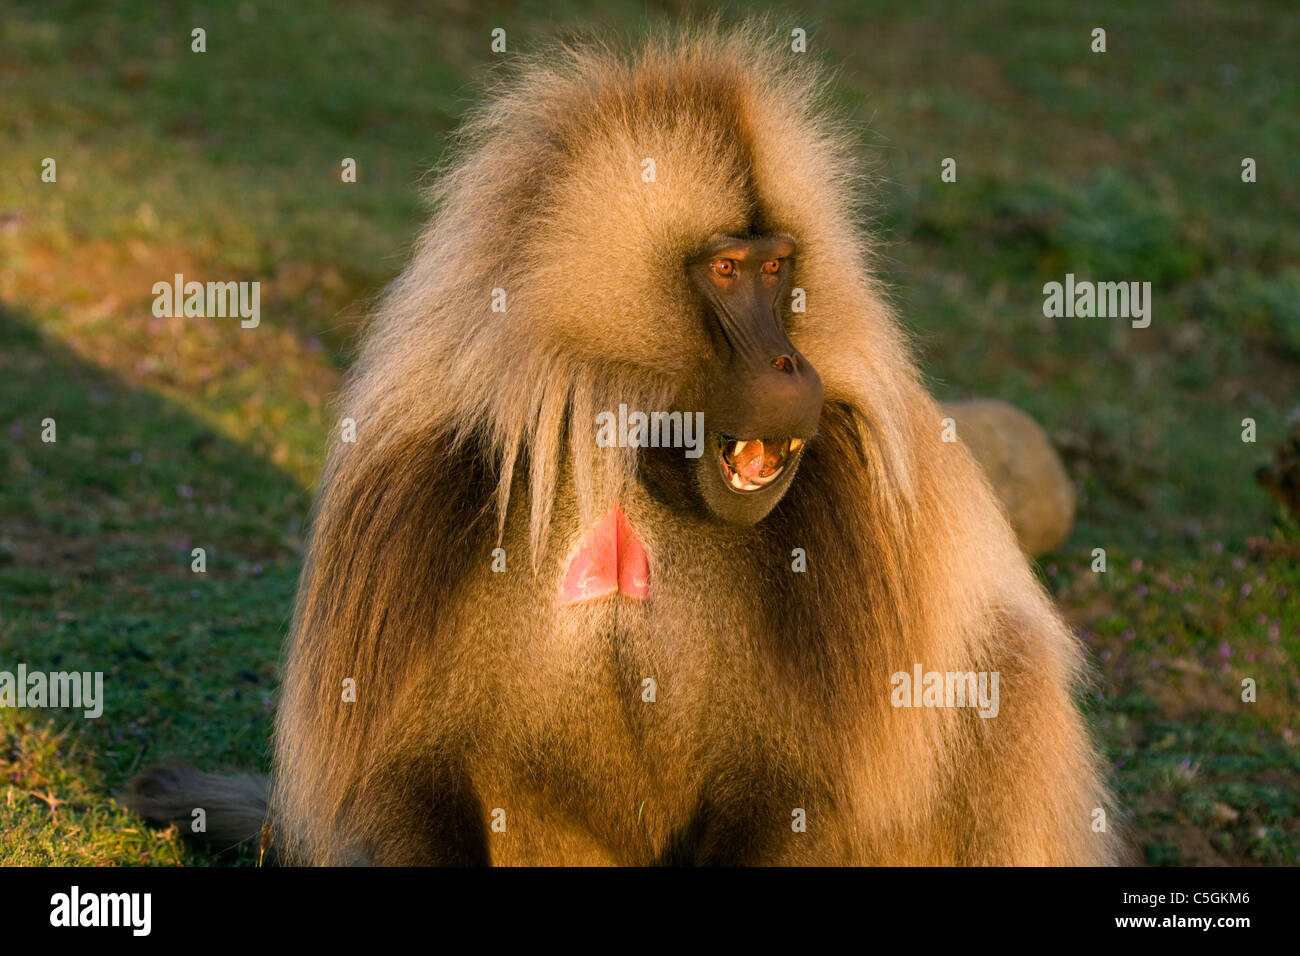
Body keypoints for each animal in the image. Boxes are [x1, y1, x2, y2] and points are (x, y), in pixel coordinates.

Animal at [128, 24, 1117, 866]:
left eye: (779, 267)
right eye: (727, 271)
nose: (792, 365)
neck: (627, 457)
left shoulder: (857, 525)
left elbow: (811, 793)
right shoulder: (422, 481)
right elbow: (404, 771)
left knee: (1003, 670)